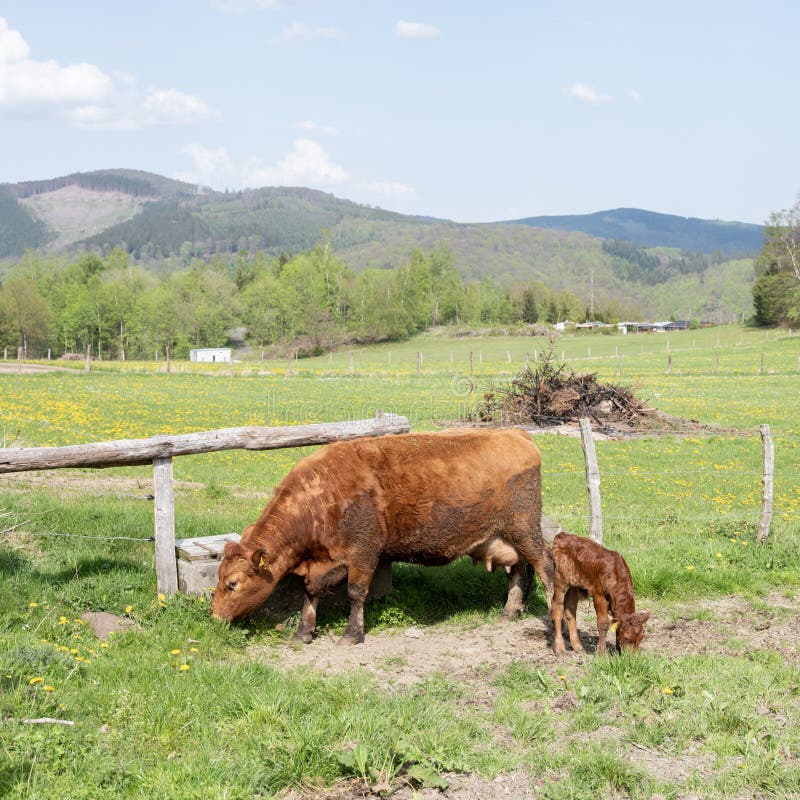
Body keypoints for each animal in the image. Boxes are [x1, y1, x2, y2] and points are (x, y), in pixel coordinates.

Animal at [211, 428, 554, 644]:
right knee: (518, 570)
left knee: (546, 566)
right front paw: (304, 632)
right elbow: (311, 592)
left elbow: (355, 593)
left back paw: (552, 614)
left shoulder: (364, 552)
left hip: (525, 528)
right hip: (506, 537)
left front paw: (352, 634)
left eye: (233, 583)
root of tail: (514, 433)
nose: (213, 617)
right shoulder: (324, 562)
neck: (320, 498)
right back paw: (510, 611)